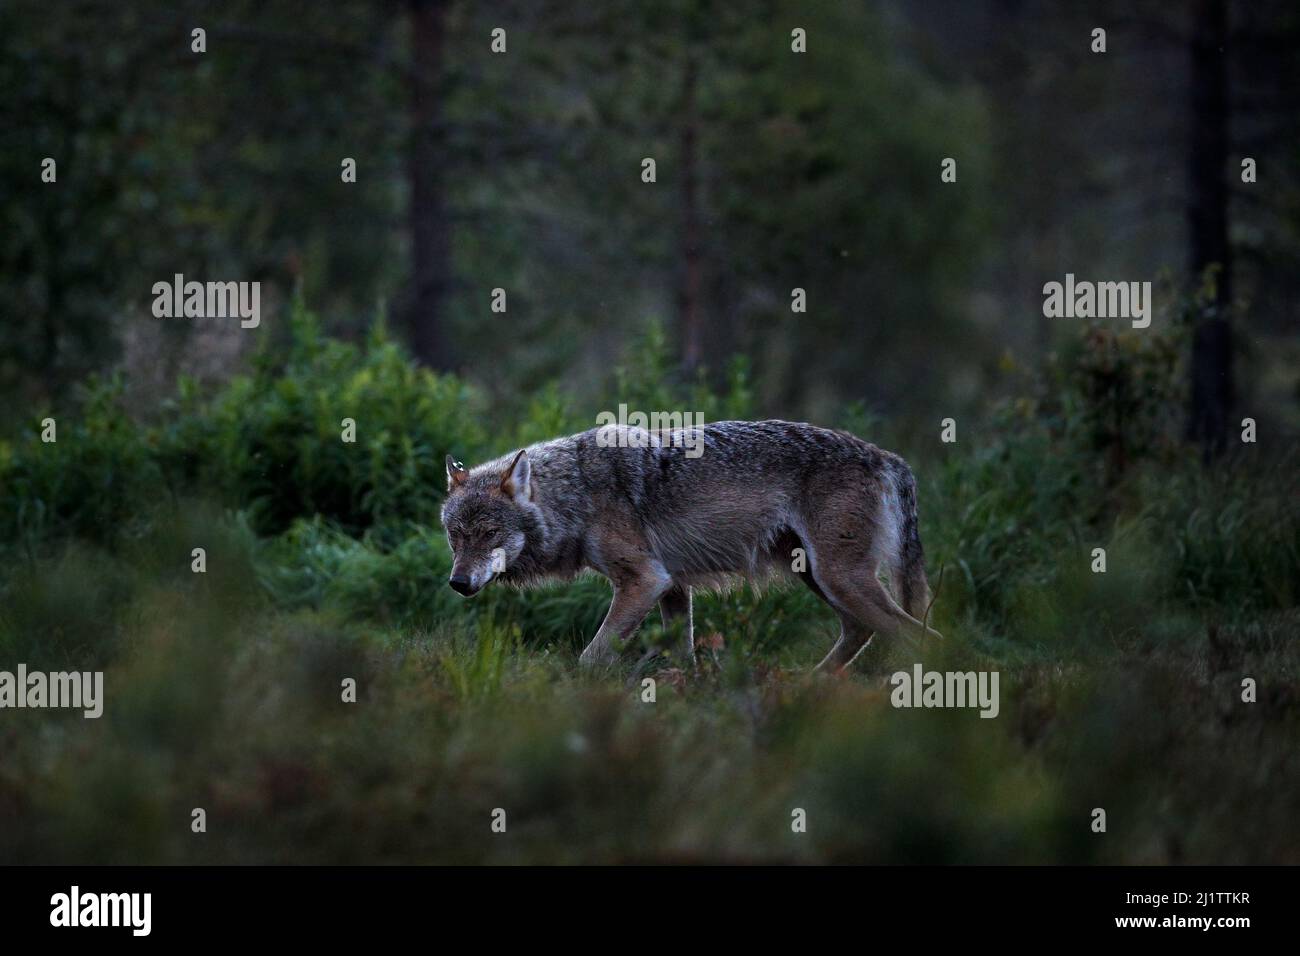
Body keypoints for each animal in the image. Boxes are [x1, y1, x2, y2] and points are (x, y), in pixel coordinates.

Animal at [441, 420, 941, 671]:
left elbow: (590, 657)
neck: (576, 490)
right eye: (455, 536)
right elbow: (683, 656)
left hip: (838, 580)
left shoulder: (645, 580)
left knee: (921, 636)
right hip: (819, 577)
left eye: (489, 534)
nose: (458, 583)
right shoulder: (673, 587)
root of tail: (887, 457)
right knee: (862, 631)